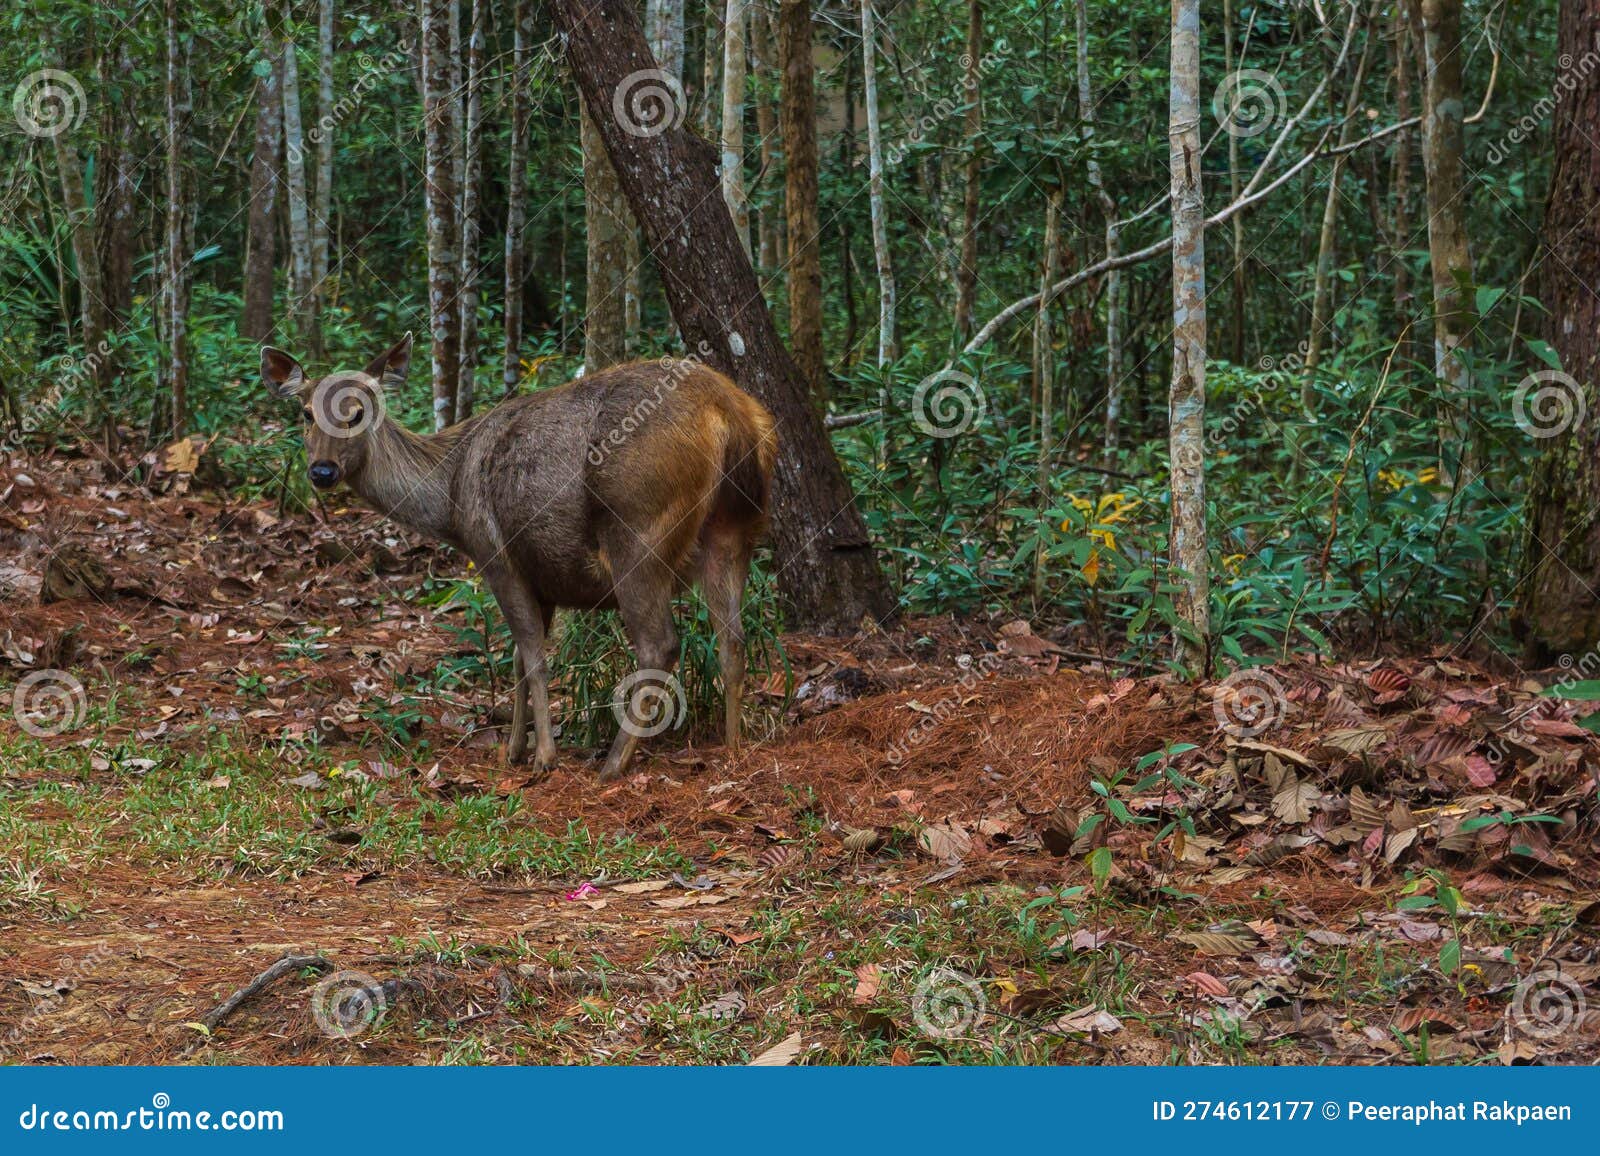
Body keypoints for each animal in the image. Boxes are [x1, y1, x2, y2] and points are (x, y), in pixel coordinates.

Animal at [261, 333, 777, 783]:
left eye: (358, 412)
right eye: (305, 412)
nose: (322, 470)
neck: (449, 500)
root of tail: (731, 417)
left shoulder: (497, 556)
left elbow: (532, 658)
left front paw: (544, 756)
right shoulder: (542, 577)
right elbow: (516, 658)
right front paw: (512, 748)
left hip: (638, 527)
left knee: (662, 644)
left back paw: (613, 763)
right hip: (738, 527)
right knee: (733, 638)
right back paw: (732, 747)